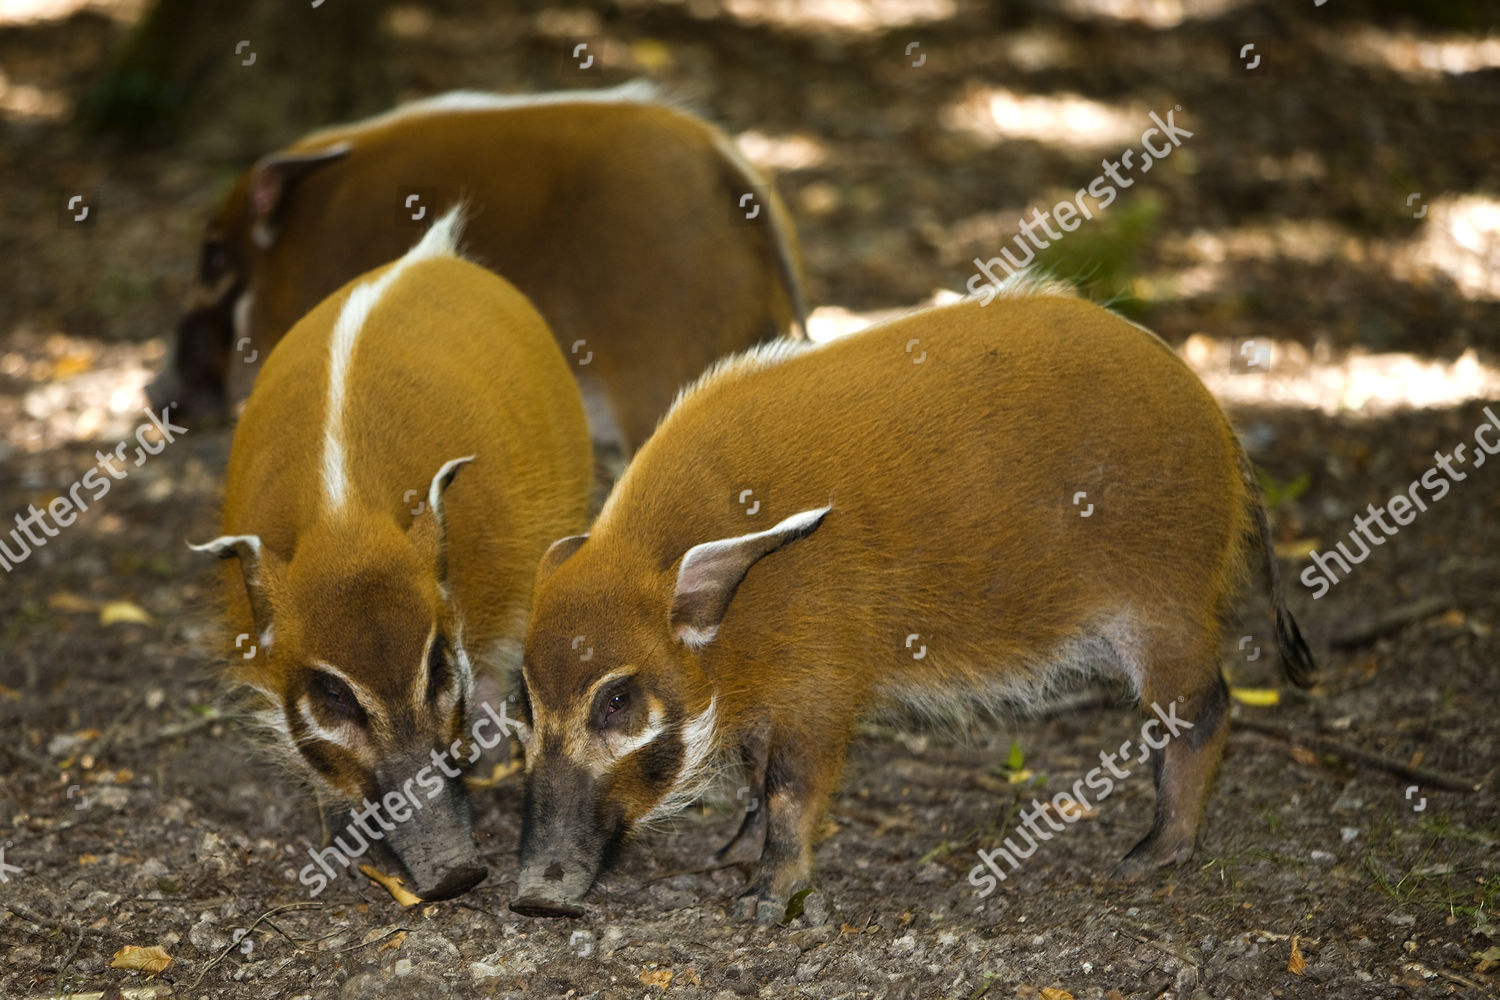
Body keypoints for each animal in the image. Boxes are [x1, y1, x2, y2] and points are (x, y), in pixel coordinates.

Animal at [507, 283, 1315, 920]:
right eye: (524, 700)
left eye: (616, 701)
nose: (534, 894)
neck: (737, 615)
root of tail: (1217, 418)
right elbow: (756, 775)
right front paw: (725, 855)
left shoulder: (821, 687)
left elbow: (790, 788)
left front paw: (765, 902)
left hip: (1163, 606)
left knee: (1205, 709)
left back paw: (1149, 855)